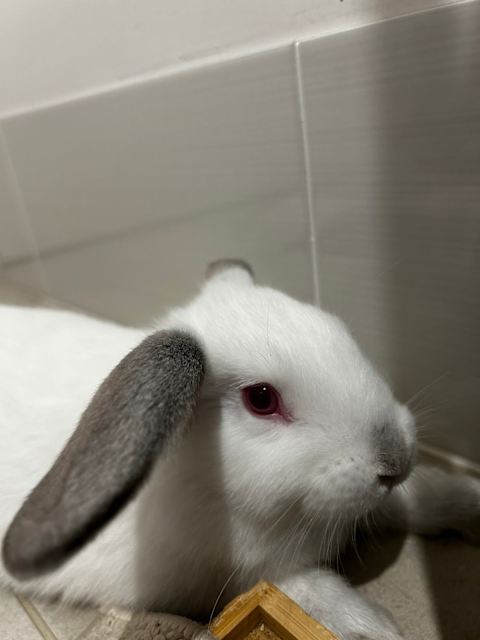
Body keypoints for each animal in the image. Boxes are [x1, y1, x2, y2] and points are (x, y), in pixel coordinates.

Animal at [1, 259, 479, 640]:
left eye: (339, 330)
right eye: (261, 399)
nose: (395, 461)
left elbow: (418, 500)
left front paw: (471, 502)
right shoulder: (247, 575)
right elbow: (306, 591)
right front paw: (373, 628)